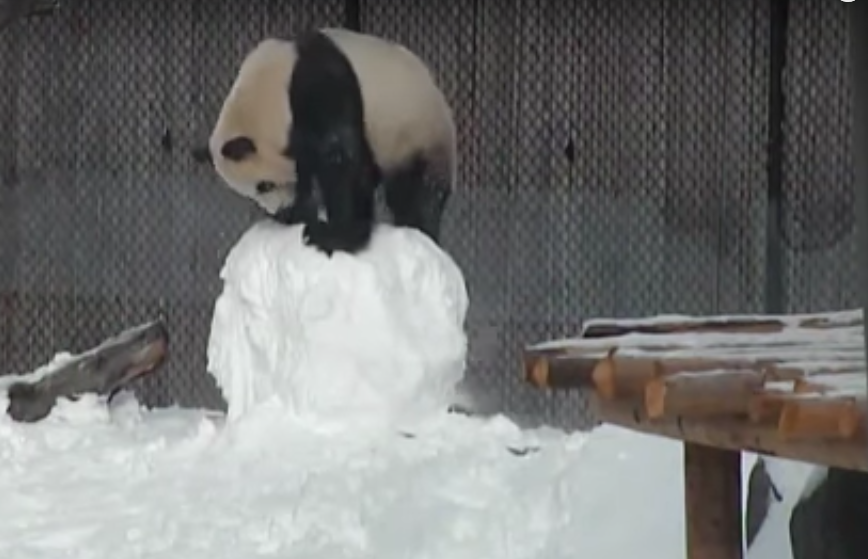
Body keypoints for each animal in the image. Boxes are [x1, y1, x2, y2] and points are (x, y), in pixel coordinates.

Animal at [192, 28, 457, 256]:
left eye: (264, 185)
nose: (280, 211)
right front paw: (300, 215)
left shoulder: (320, 88)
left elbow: (339, 157)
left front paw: (331, 236)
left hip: (416, 135)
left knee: (416, 191)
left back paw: (419, 228)